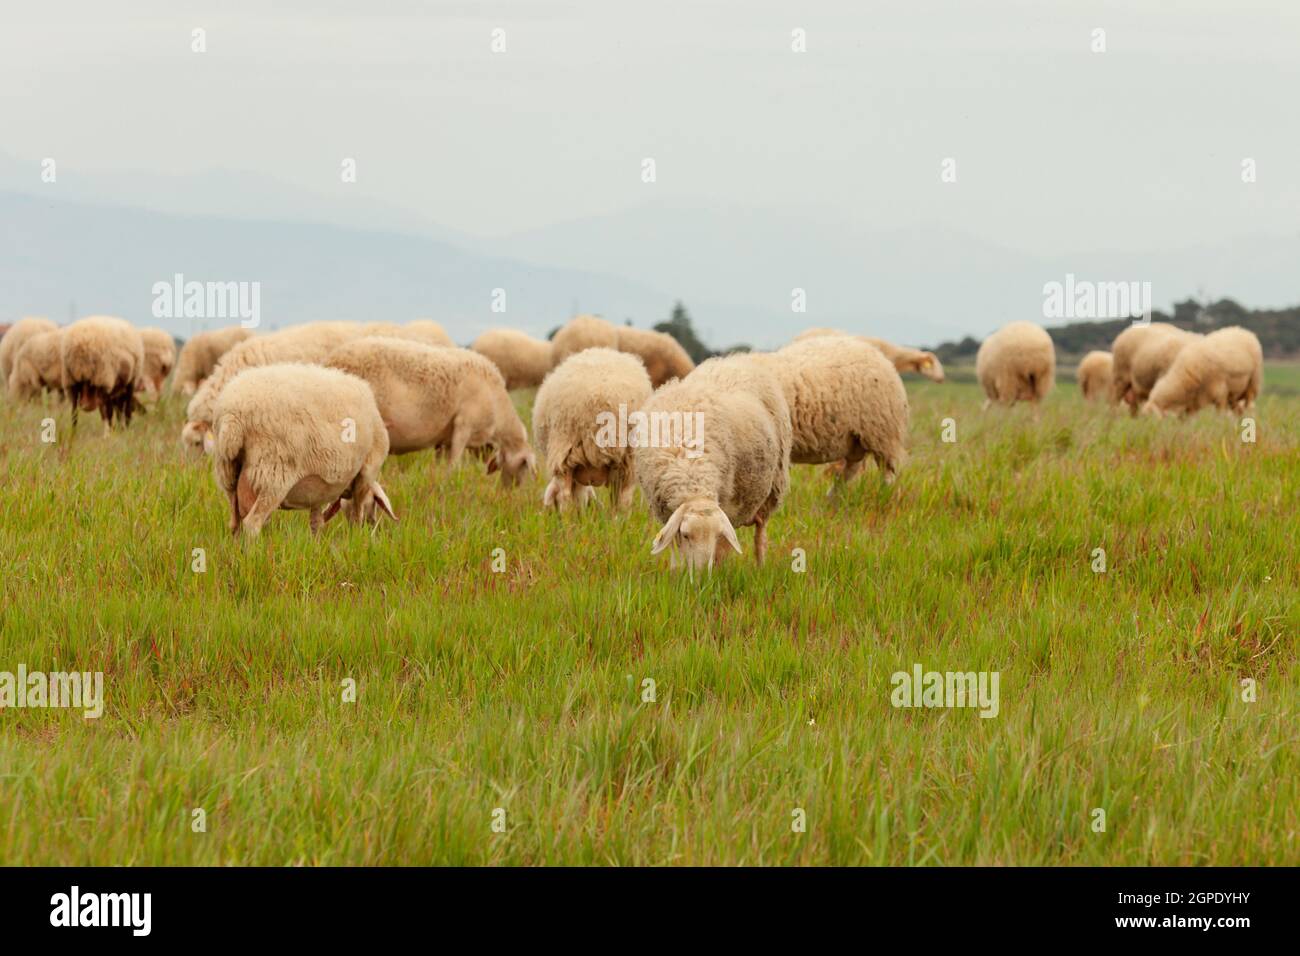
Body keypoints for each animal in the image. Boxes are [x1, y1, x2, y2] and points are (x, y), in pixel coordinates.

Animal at [212, 363, 395, 537]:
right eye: (376, 504)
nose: (371, 524)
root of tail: (232, 416)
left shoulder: (319, 490)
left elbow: (316, 523)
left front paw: (317, 545)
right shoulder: (366, 472)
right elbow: (357, 511)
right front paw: (356, 537)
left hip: (229, 474)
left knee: (235, 524)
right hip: (273, 475)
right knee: (252, 523)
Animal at [325, 336, 536, 487]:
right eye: (524, 467)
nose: (512, 490)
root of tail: (331, 360)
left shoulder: (445, 439)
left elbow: (441, 462)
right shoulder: (464, 425)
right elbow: (454, 462)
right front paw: (450, 483)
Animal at [634, 354, 791, 570]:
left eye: (715, 536)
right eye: (686, 534)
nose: (700, 573)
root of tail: (735, 360)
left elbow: (720, 549)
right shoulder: (666, 511)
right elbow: (673, 544)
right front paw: (676, 571)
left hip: (771, 489)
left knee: (760, 535)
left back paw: (759, 566)